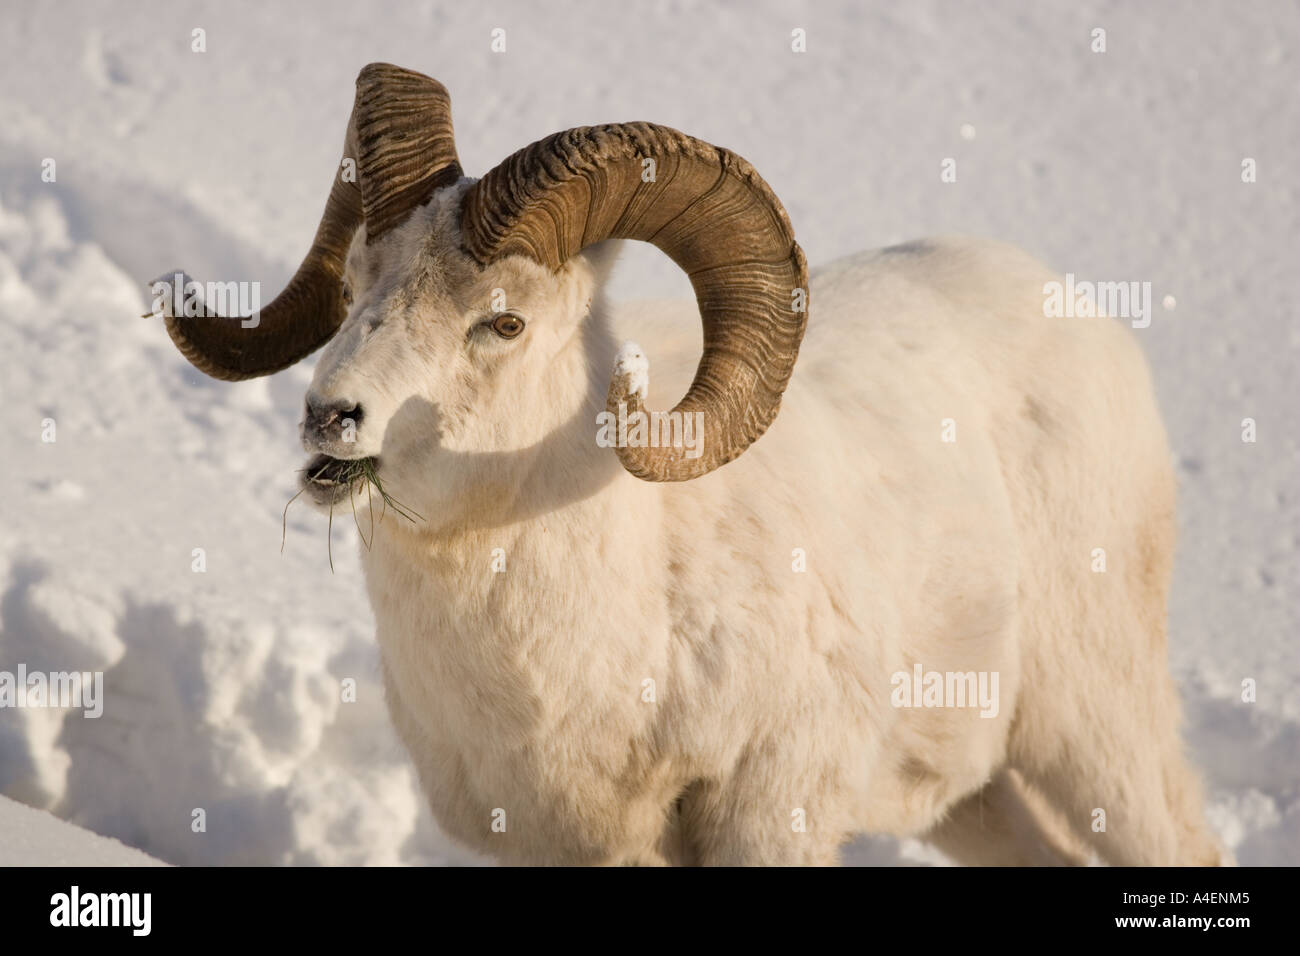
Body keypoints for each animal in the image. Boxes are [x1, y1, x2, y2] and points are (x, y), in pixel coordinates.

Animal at [155, 63, 1227, 866]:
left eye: (504, 321)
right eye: (357, 283)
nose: (329, 418)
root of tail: (1083, 317)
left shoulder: (766, 817)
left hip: (1096, 733)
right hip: (982, 799)